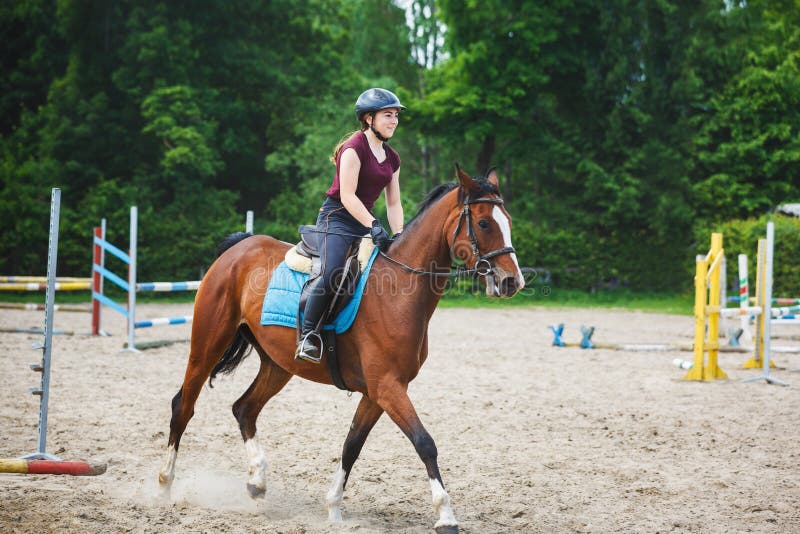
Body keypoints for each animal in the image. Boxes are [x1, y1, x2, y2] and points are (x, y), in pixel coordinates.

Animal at [157, 165, 525, 533]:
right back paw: (164, 487)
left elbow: (352, 445)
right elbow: (424, 443)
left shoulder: (378, 392)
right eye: (484, 224)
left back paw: (257, 482)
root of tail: (238, 248)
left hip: (277, 364)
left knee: (244, 408)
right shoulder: (387, 387)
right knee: (183, 406)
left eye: (507, 219)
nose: (512, 282)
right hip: (207, 344)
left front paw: (334, 508)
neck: (399, 289)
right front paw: (445, 515)